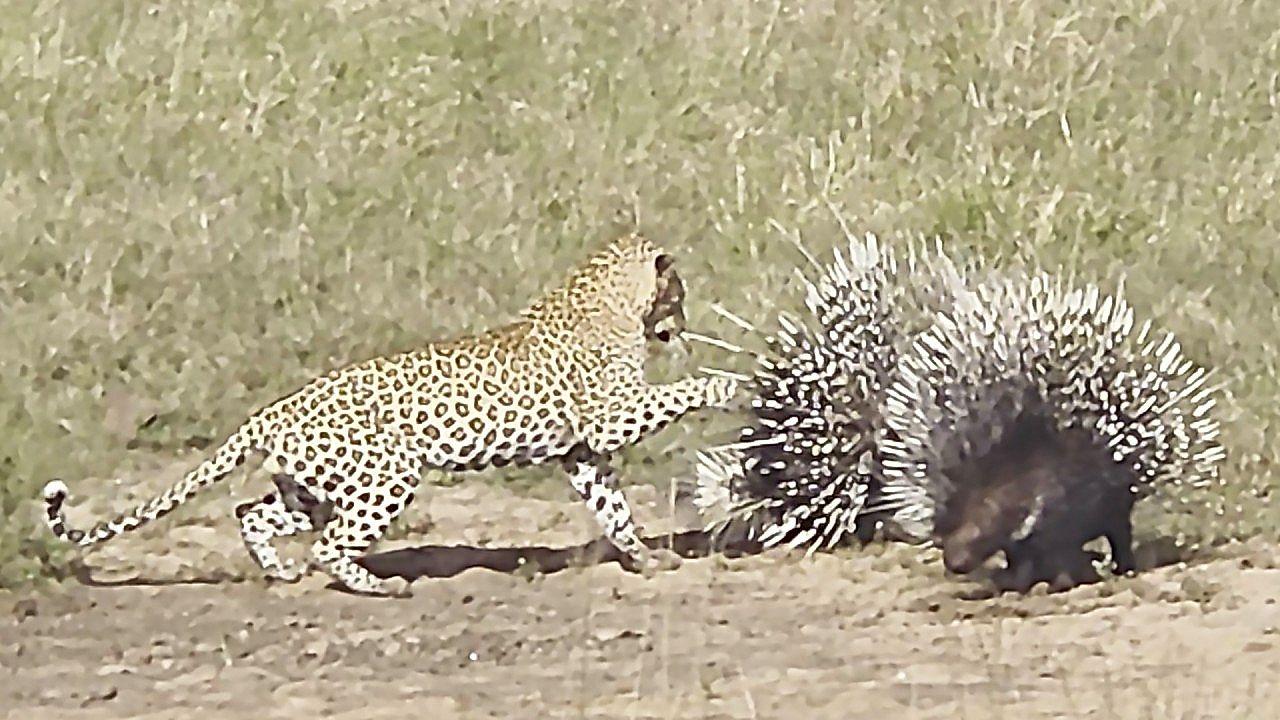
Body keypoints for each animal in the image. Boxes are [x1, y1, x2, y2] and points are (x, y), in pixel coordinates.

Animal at [42, 233, 738, 597]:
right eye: (678, 291)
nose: (683, 322)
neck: (605, 301)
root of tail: (271, 411)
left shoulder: (581, 452)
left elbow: (613, 508)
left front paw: (646, 558)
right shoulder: (611, 418)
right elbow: (680, 394)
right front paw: (728, 385)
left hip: (313, 488)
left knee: (253, 514)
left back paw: (282, 571)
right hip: (387, 476)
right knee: (329, 544)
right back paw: (378, 586)